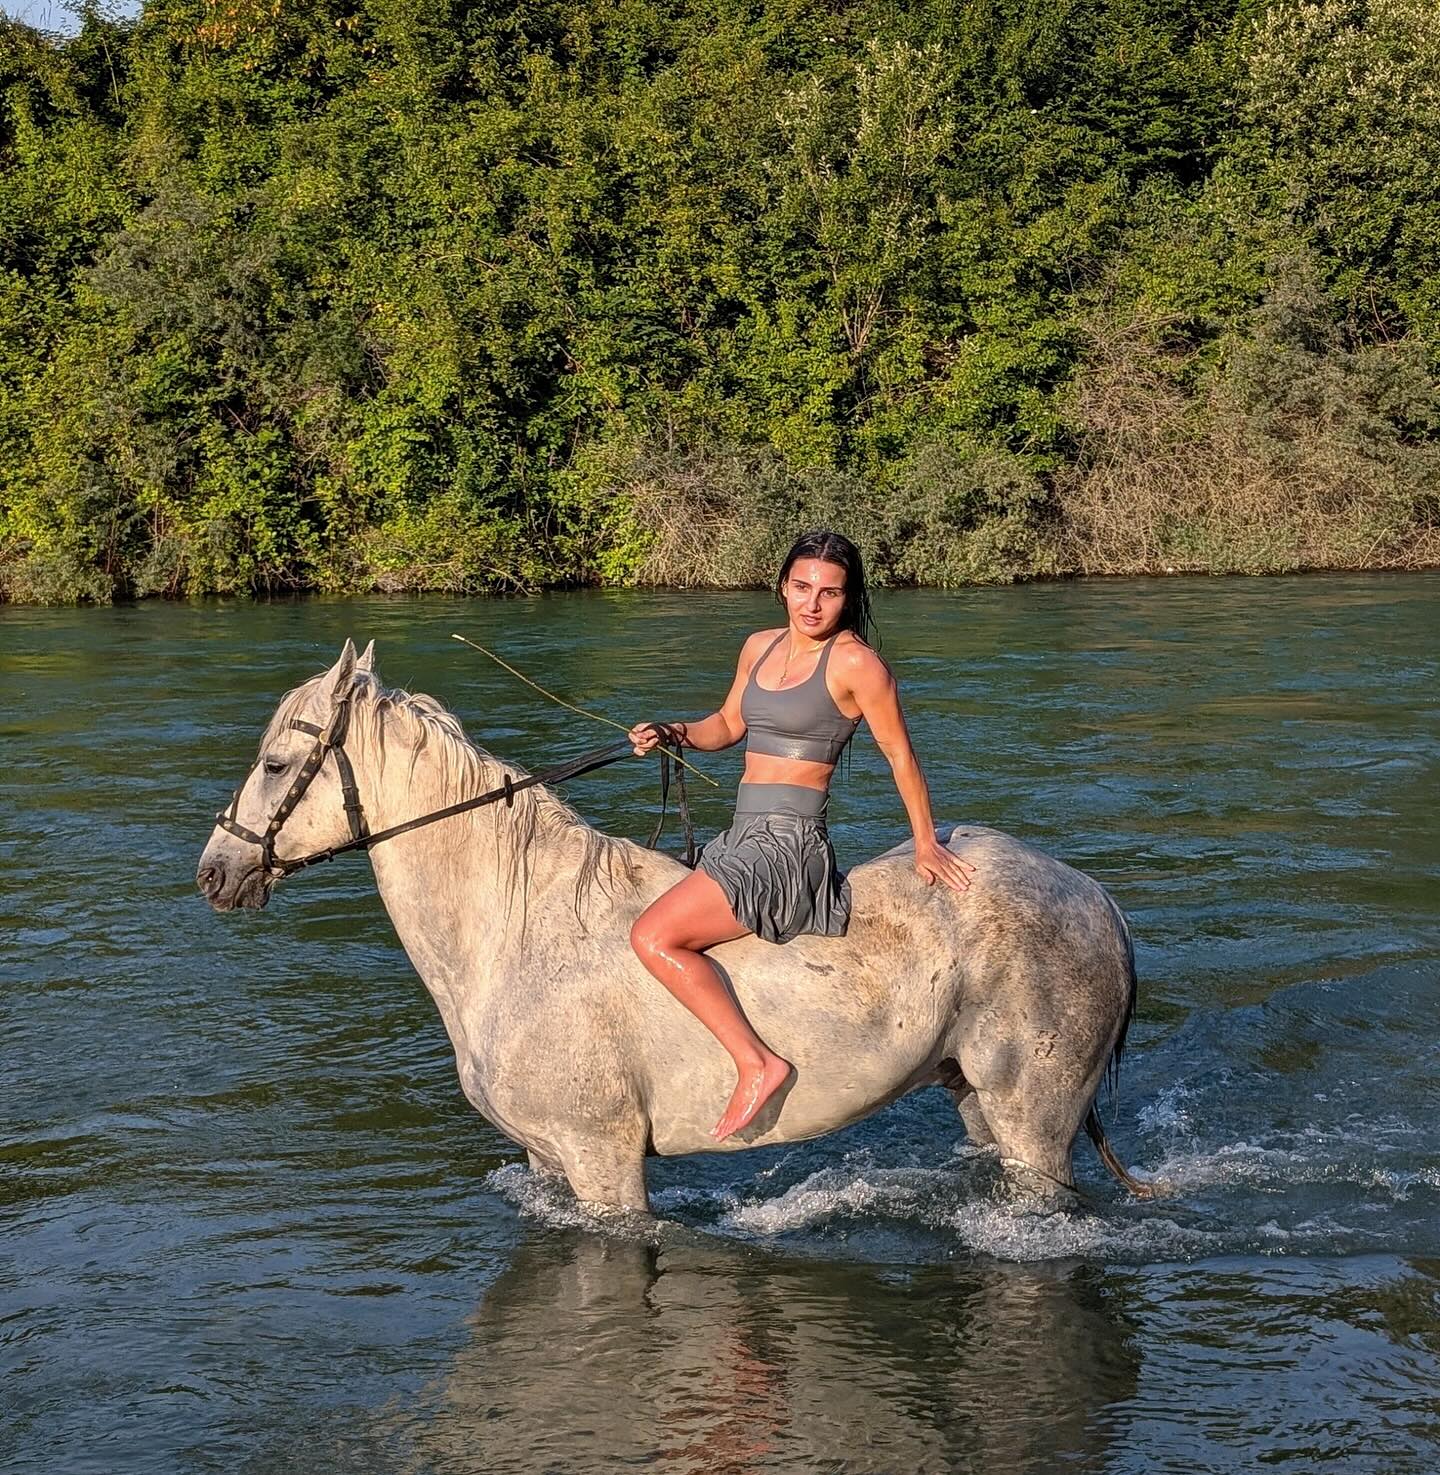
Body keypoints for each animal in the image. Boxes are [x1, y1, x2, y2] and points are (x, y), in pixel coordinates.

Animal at [196, 639, 1153, 1211]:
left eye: (277, 763)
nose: (216, 872)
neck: (514, 935)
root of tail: (1092, 895)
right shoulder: (552, 1160)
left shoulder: (603, 1161)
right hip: (979, 1102)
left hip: (1034, 1121)